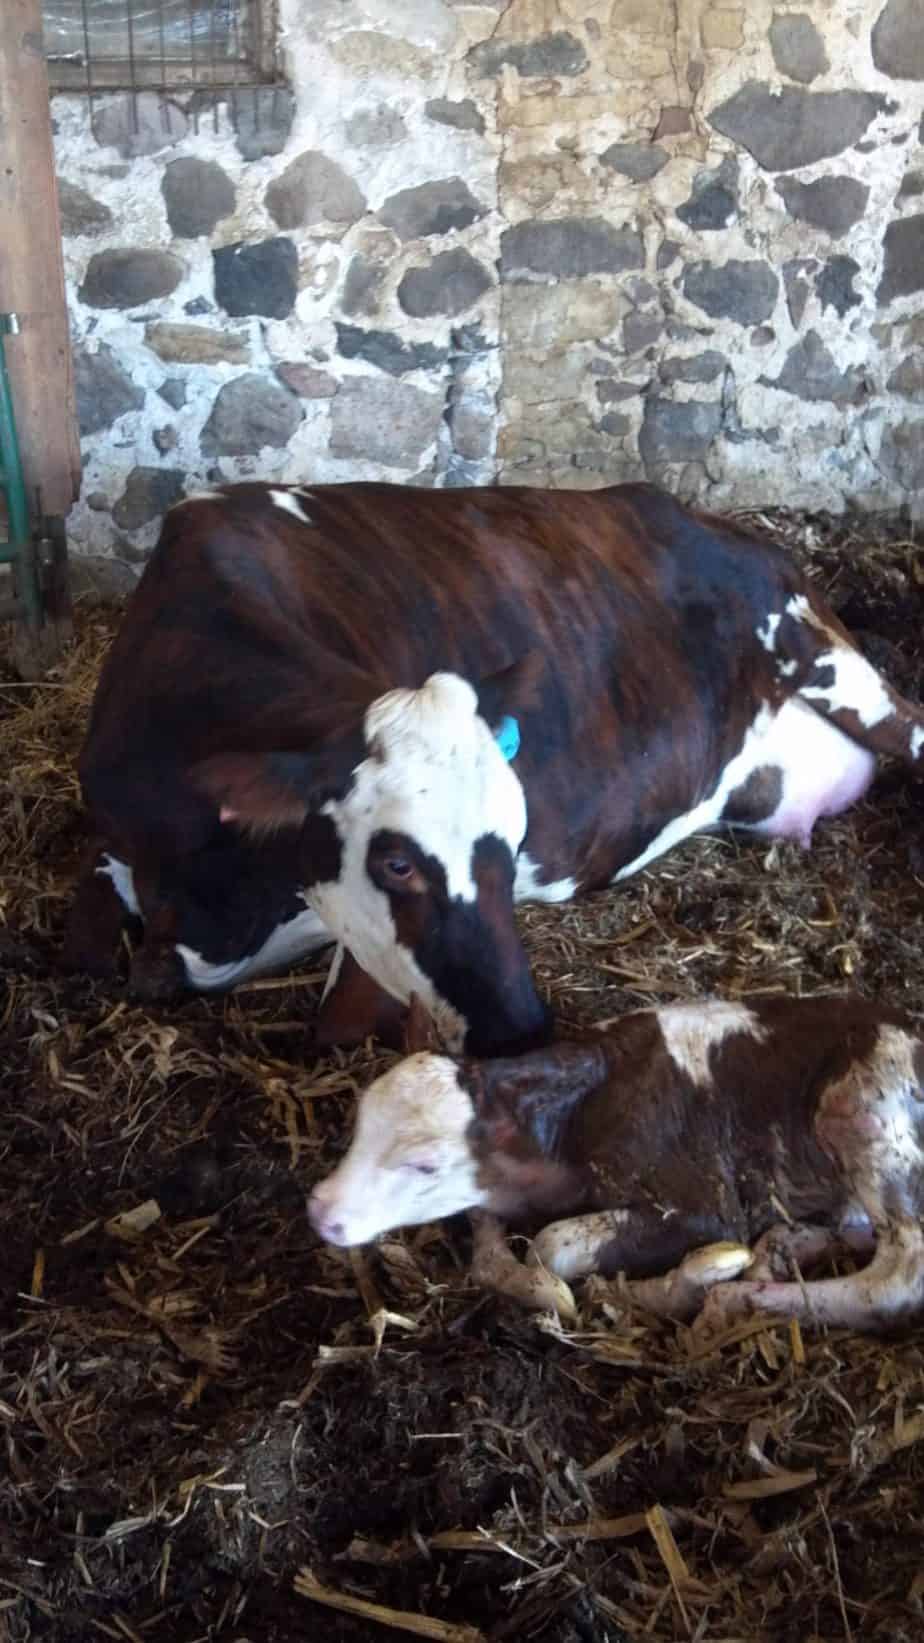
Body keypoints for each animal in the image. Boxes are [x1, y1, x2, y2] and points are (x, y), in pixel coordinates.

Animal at [308, 994, 924, 1335]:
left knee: (900, 1275)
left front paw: (686, 1279)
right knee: (855, 1228)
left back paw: (736, 1294)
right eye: (360, 1120)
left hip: (864, 1107)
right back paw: (779, 1249)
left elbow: (552, 1244)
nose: (320, 1209)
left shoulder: (704, 1202)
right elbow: (490, 1246)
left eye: (425, 1165)